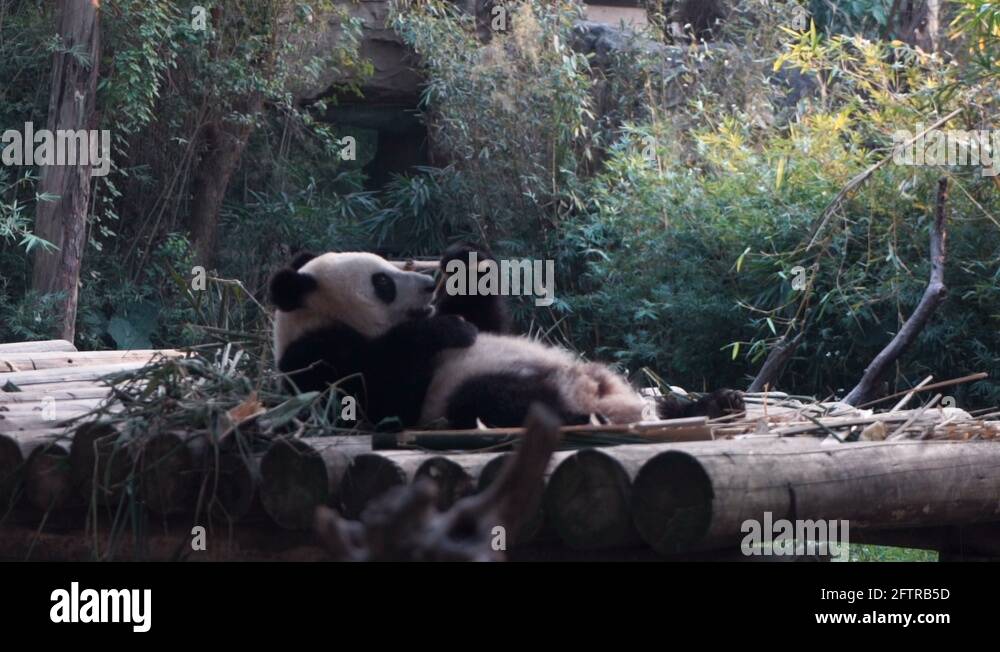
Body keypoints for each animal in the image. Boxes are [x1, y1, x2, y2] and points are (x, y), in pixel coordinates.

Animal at [270, 247, 742, 429]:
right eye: (382, 282)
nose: (427, 285)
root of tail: (595, 389)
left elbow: (493, 323)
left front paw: (463, 262)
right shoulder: (318, 360)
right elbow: (382, 395)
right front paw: (447, 329)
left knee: (664, 401)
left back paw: (719, 402)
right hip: (473, 395)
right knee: (496, 399)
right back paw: (582, 417)